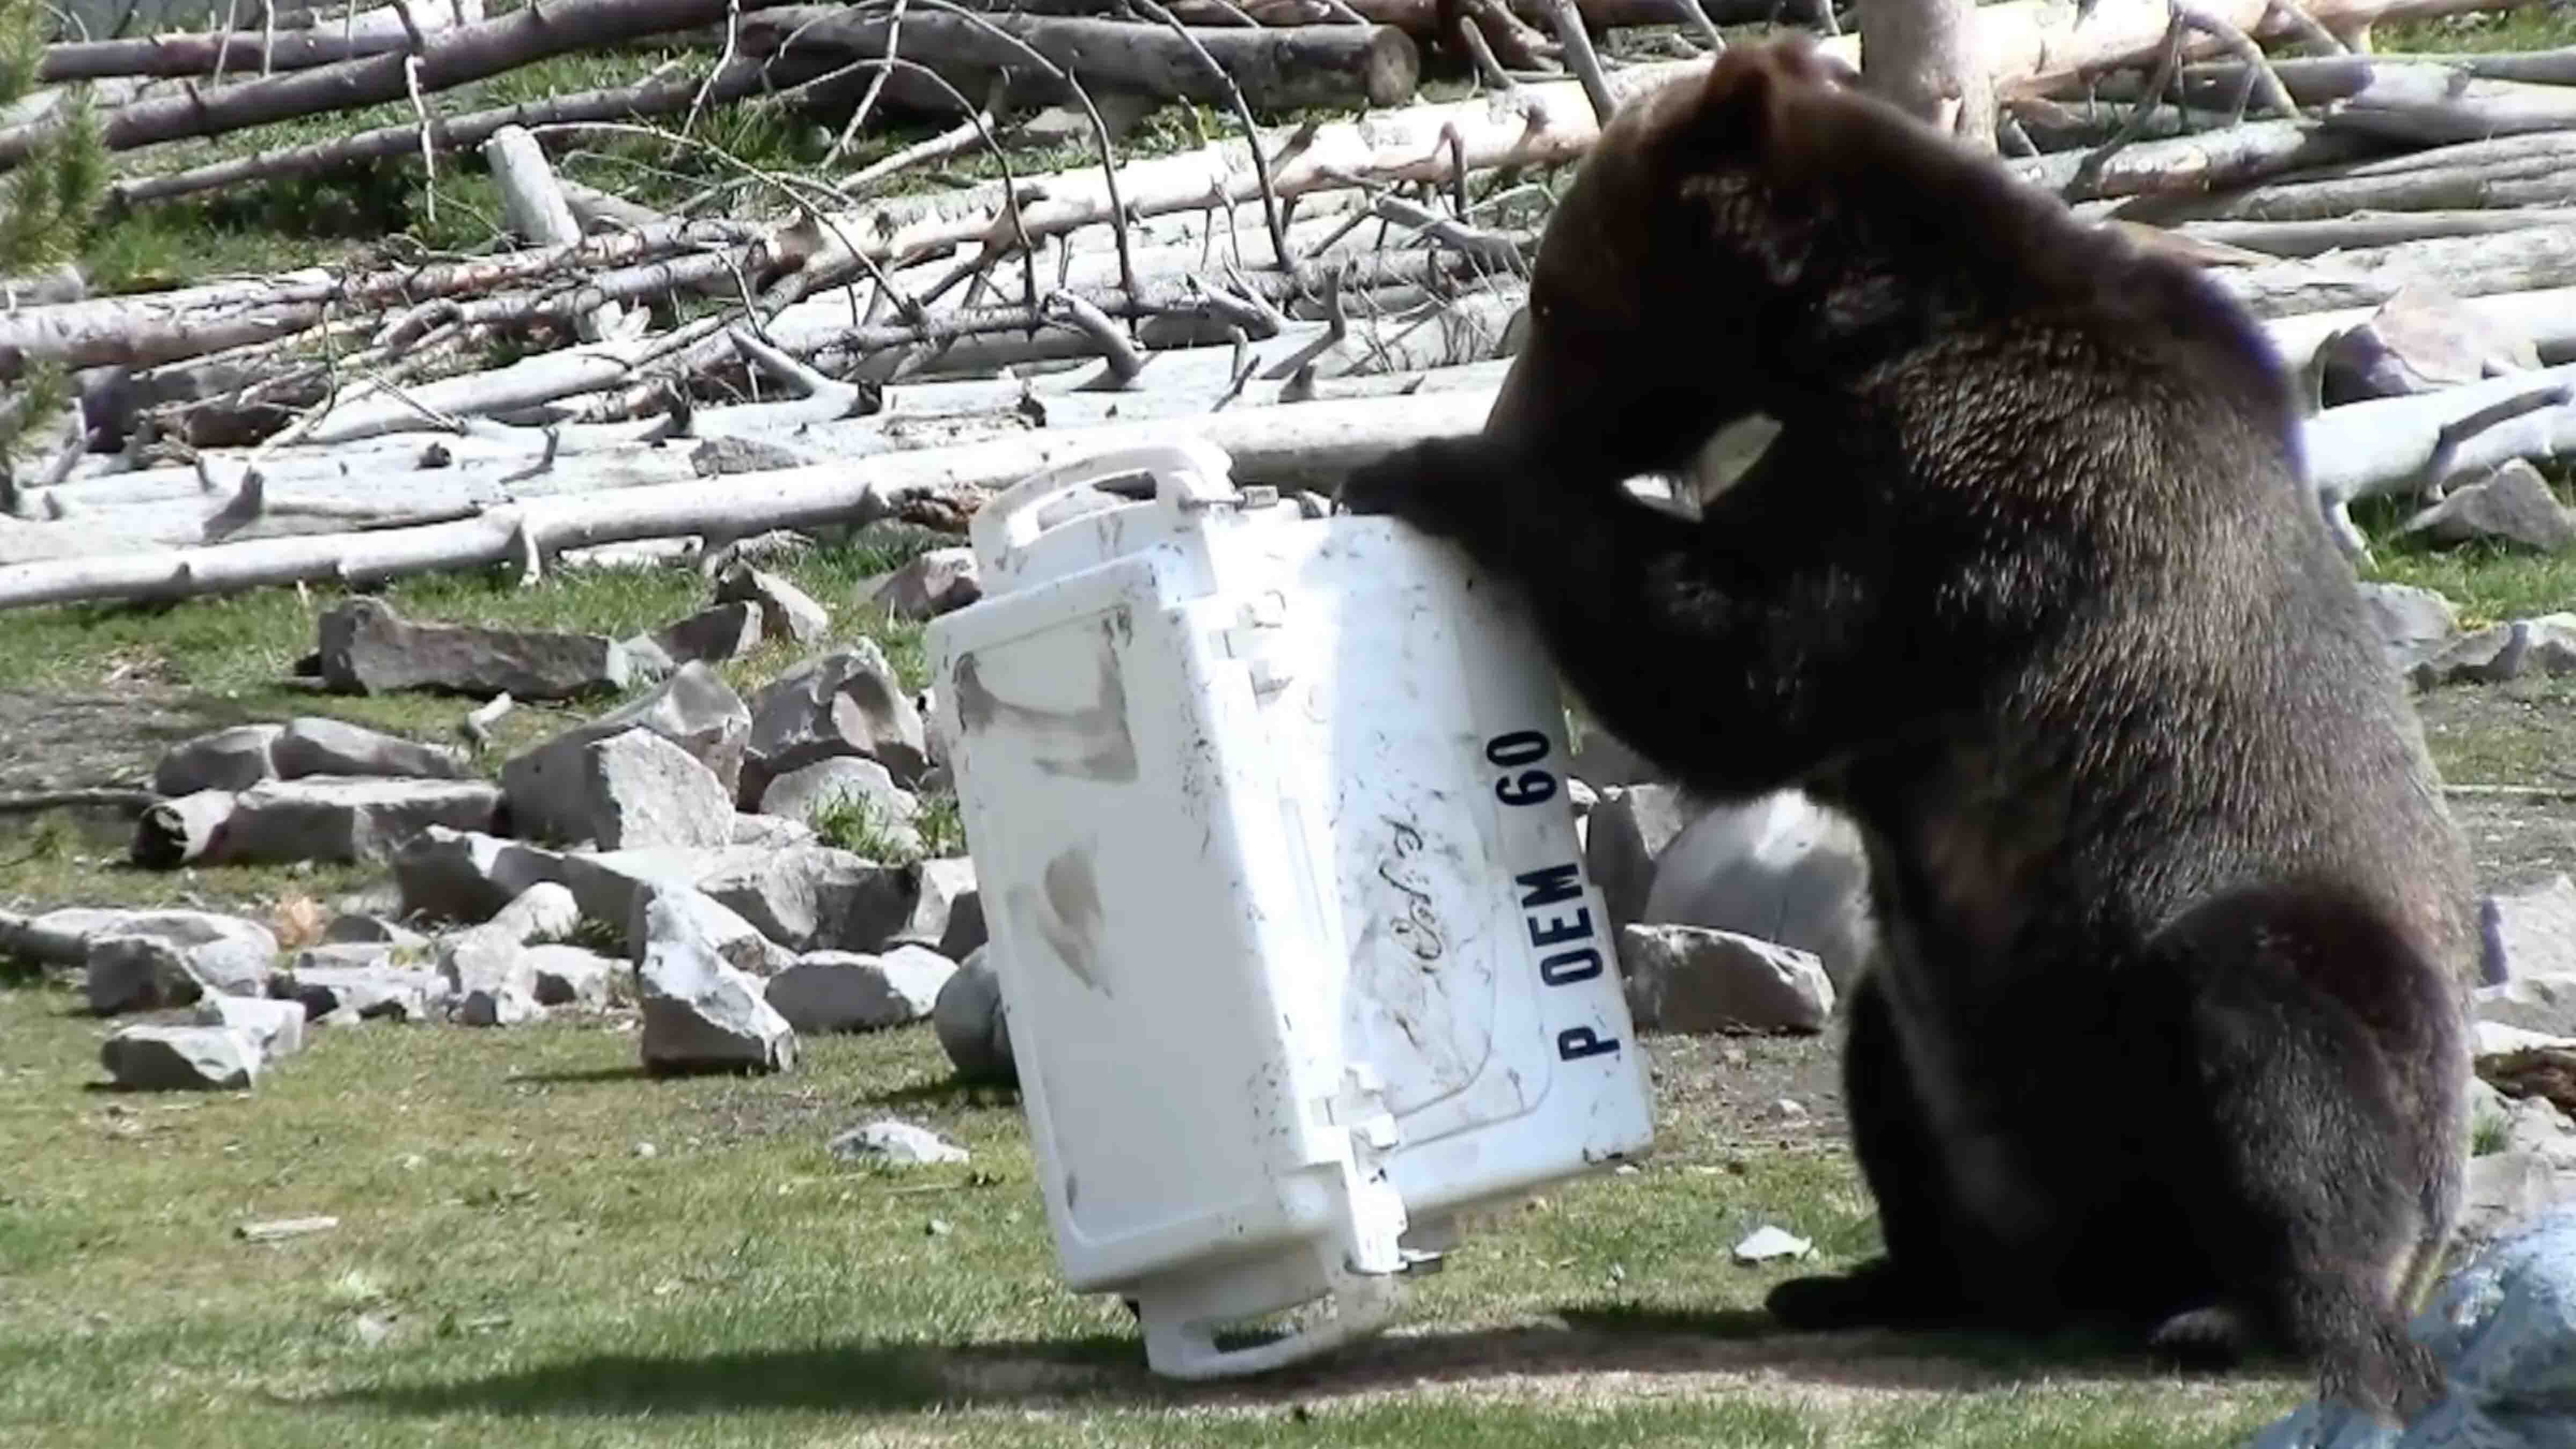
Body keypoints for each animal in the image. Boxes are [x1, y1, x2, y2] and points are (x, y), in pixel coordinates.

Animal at [1335, 36, 2475, 1425]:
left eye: (1552, 303)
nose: (1516, 413)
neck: (1860, 330)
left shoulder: (1981, 487)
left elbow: (1745, 667)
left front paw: (1422, 469)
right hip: (1959, 1051)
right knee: (1887, 1053)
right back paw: (1877, 1278)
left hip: (2250, 955)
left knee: (2276, 1032)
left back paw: (2247, 1309)